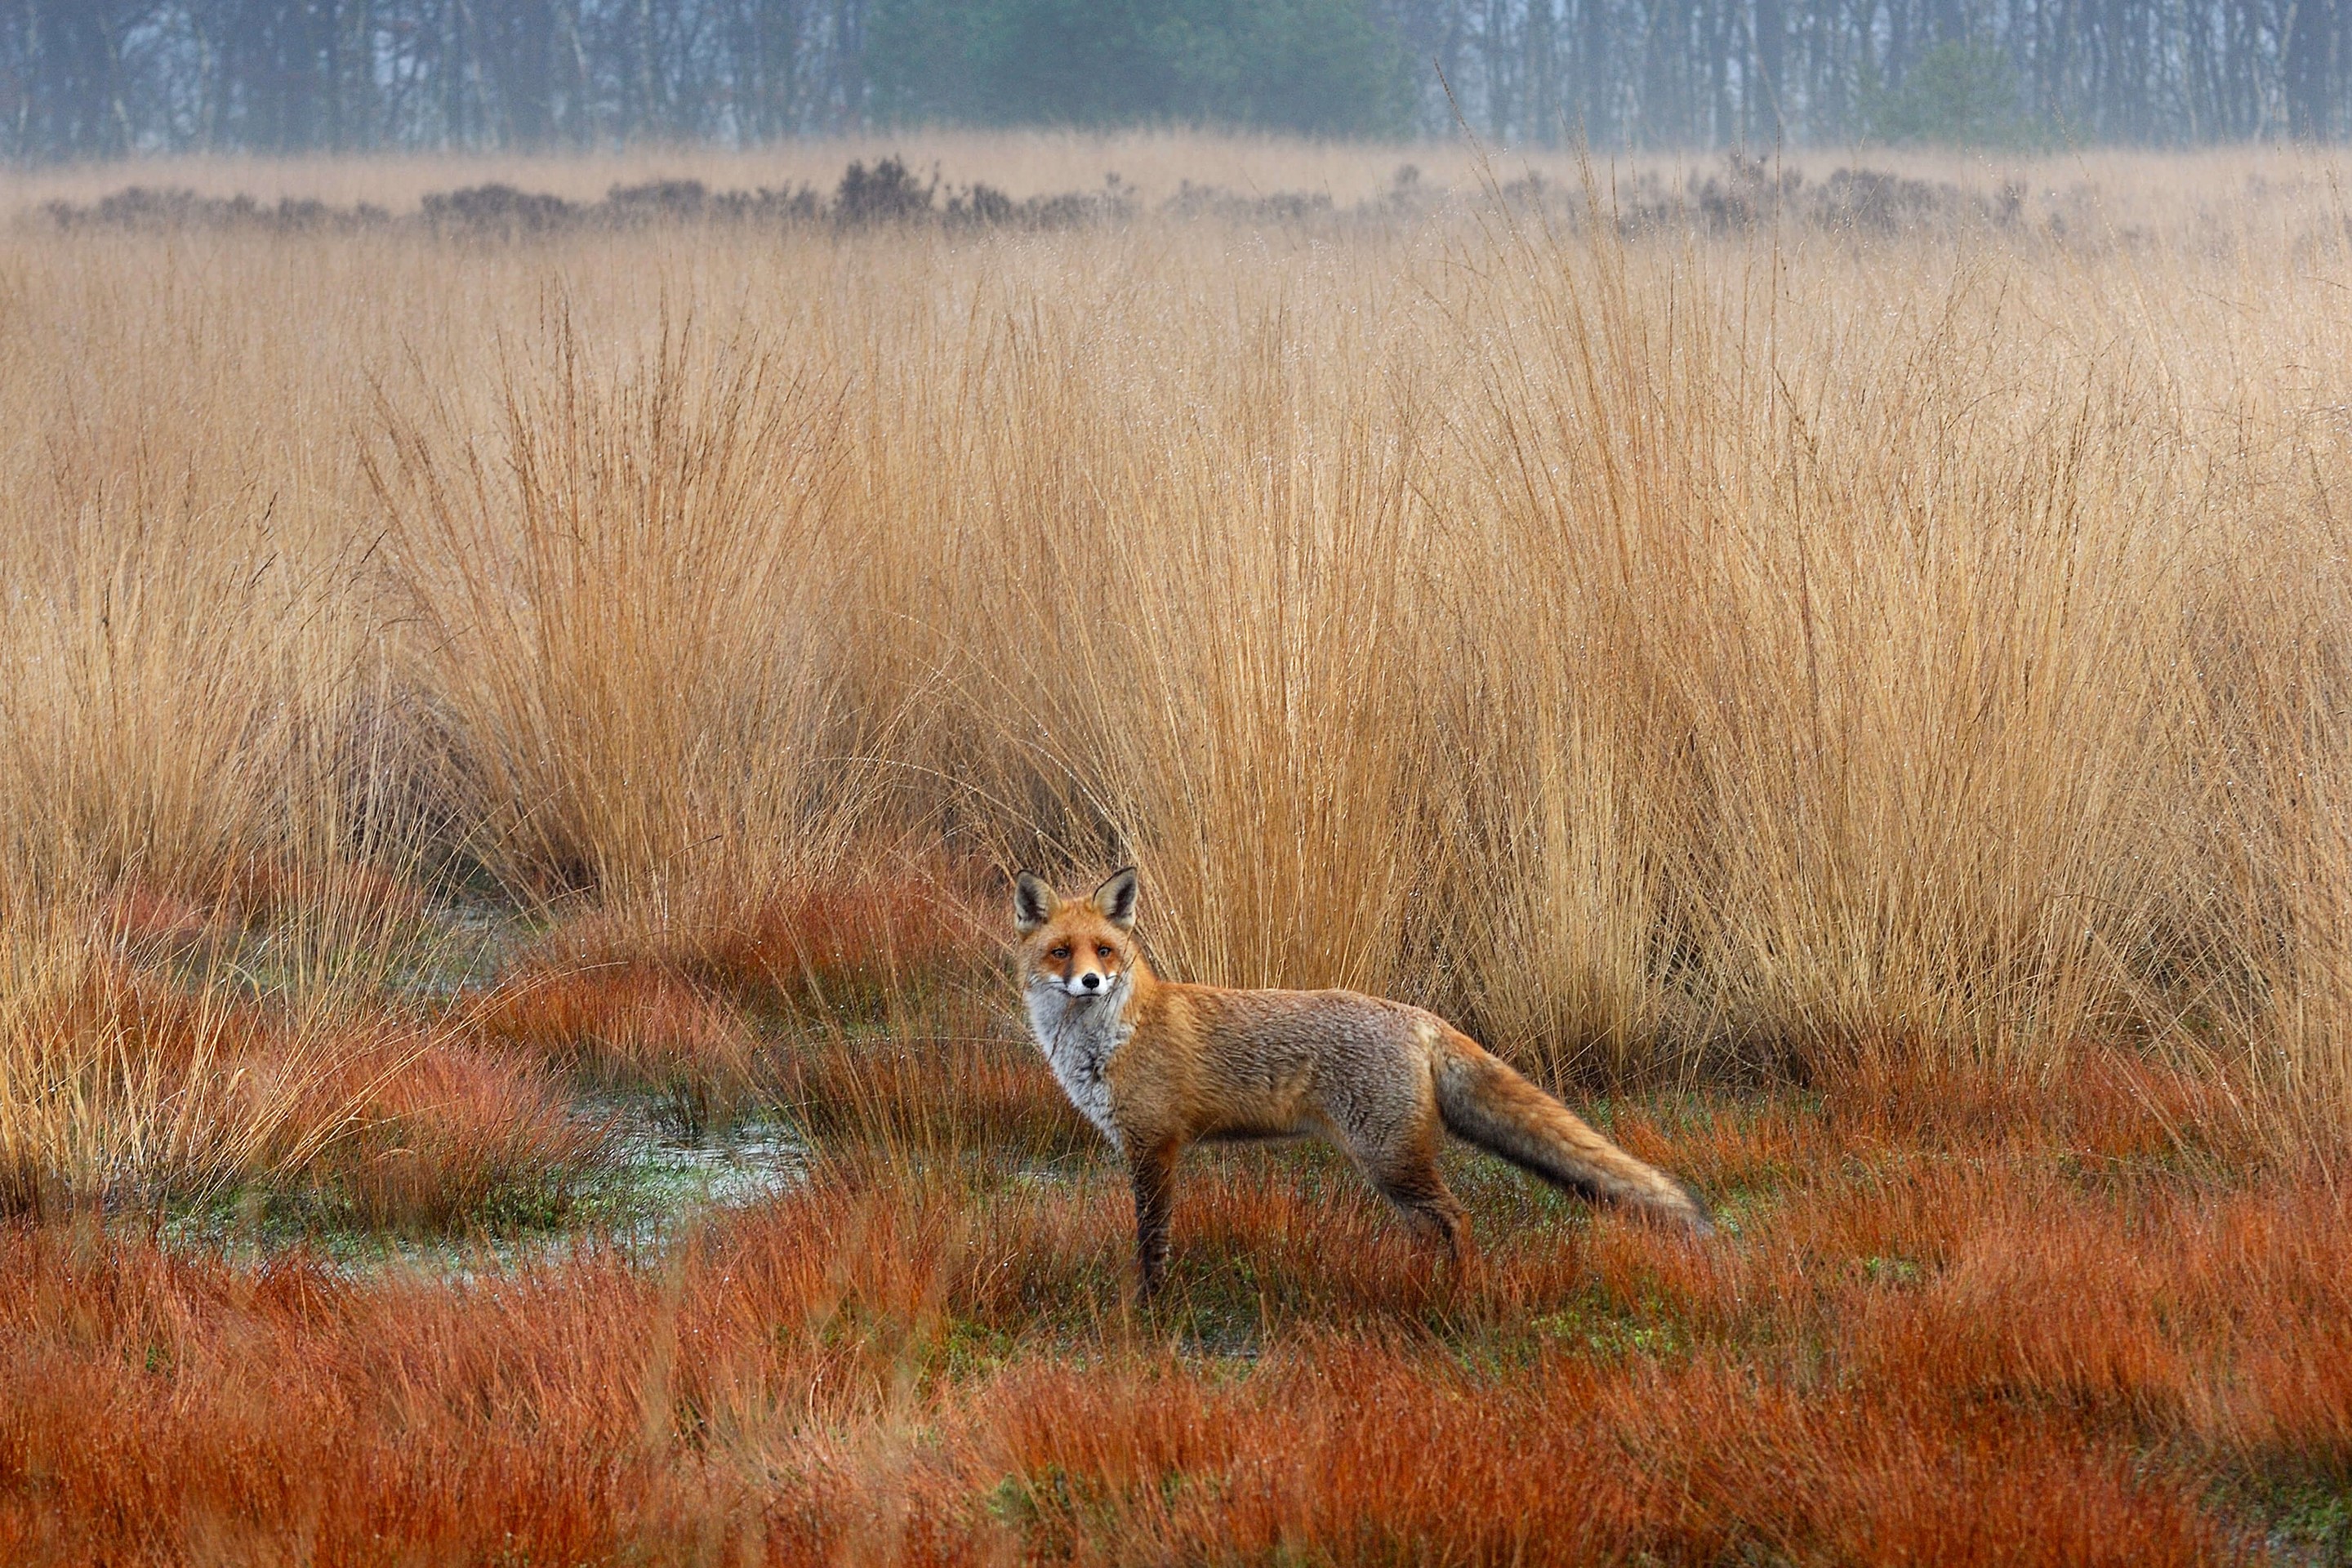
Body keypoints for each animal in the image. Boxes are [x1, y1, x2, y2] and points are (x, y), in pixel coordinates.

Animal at [1013, 866, 1712, 1292]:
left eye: (1104, 951)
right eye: (1061, 952)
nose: (1091, 982)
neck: (1107, 1041)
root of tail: (1417, 1014)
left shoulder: (1155, 1146)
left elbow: (1151, 1240)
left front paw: (1151, 1306)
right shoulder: (1145, 1145)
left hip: (1388, 1159)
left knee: (1456, 1217)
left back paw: (1457, 1292)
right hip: (1392, 1167)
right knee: (1431, 1227)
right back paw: (1418, 1285)